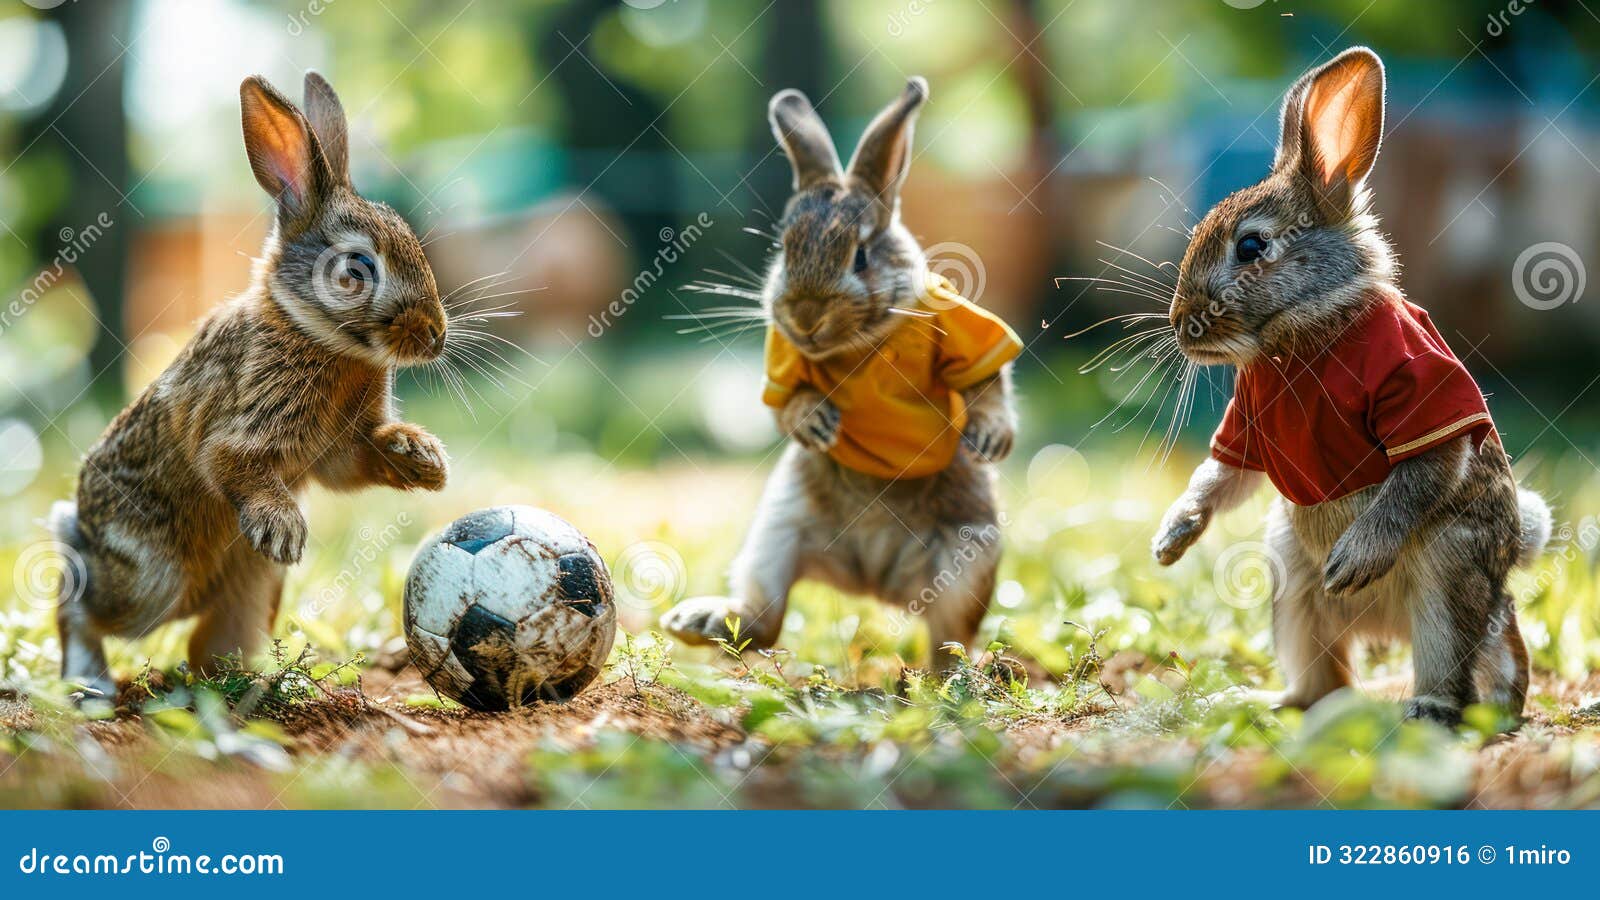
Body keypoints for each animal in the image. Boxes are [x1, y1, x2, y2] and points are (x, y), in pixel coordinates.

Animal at [51, 72, 450, 701]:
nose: (436, 335)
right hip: (149, 580)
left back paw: (244, 688)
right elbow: (232, 461)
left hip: (253, 585)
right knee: (80, 599)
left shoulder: (340, 449)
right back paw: (91, 680)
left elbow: (354, 463)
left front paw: (422, 458)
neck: (311, 330)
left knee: (210, 643)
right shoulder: (244, 420)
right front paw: (283, 527)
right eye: (356, 269)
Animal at [660, 78, 1022, 672]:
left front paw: (990, 438)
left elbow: (986, 381)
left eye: (861, 257)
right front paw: (817, 423)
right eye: (783, 249)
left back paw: (963, 676)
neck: (860, 345)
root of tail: (874, 583)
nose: (806, 316)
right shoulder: (783, 365)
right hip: (777, 531)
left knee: (947, 639)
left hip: (967, 559)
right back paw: (699, 621)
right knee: (766, 619)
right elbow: (786, 405)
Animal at [1151, 47, 1551, 725]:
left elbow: (1423, 471)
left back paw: (1430, 709)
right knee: (1321, 683)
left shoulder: (1421, 390)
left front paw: (1355, 559)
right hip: (1290, 581)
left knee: (1457, 666)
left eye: (1252, 246)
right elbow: (1222, 476)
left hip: (1448, 577)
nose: (1182, 325)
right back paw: (1257, 700)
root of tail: (1386, 631)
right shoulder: (1248, 425)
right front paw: (1171, 540)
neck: (1305, 334)